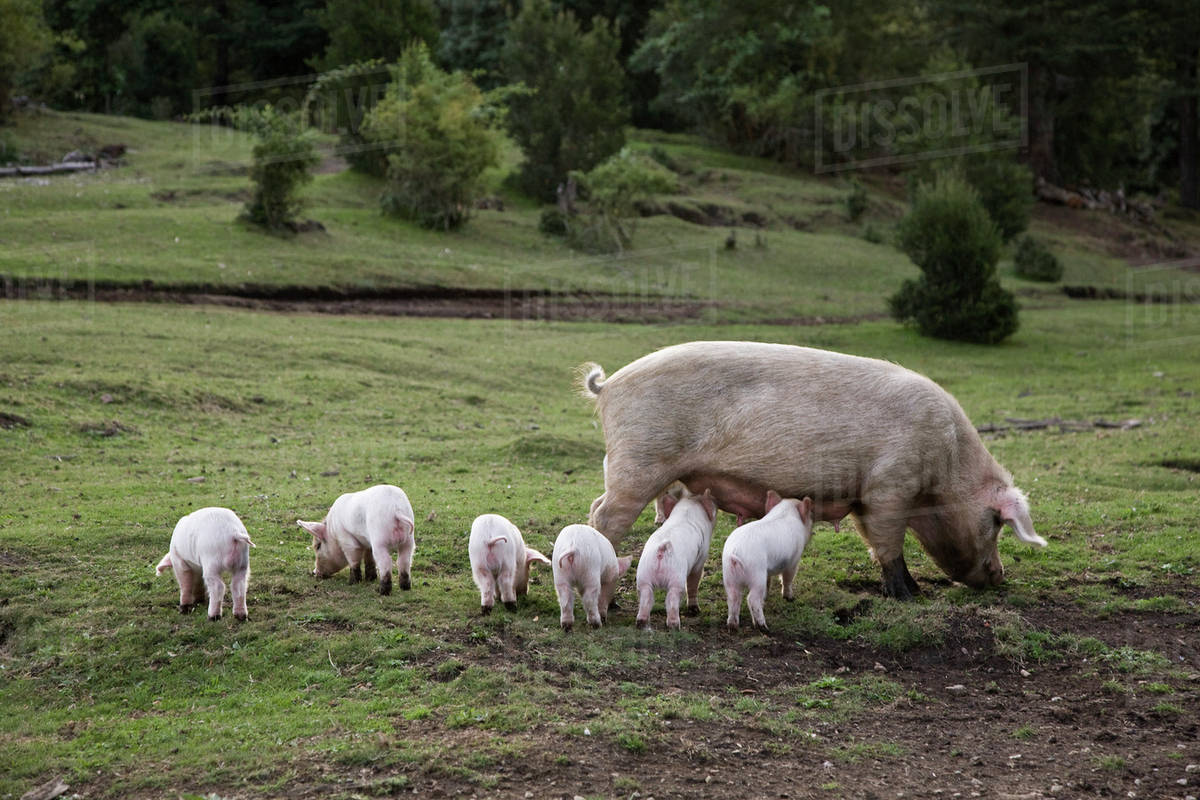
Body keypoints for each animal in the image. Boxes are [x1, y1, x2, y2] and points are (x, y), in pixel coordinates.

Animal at [581, 341, 1046, 601]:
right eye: (996, 522)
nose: (999, 576)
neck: (946, 470)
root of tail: (610, 385)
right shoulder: (888, 487)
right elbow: (889, 544)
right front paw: (908, 598)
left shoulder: (864, 498)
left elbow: (874, 542)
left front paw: (913, 591)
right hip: (639, 460)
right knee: (605, 516)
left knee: (596, 504)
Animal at [634, 489, 718, 630]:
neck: (686, 510)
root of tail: (661, 549)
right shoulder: (701, 558)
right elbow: (694, 580)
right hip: (677, 578)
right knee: (672, 599)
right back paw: (675, 626)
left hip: (643, 575)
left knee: (646, 598)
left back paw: (641, 623)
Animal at [722, 491, 814, 633]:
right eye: (810, 516)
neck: (786, 510)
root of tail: (734, 552)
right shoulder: (794, 559)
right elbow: (788, 578)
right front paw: (790, 598)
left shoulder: (769, 570)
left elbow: (770, 580)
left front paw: (766, 597)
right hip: (756, 573)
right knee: (751, 599)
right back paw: (764, 627)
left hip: (728, 575)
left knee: (733, 597)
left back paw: (733, 626)